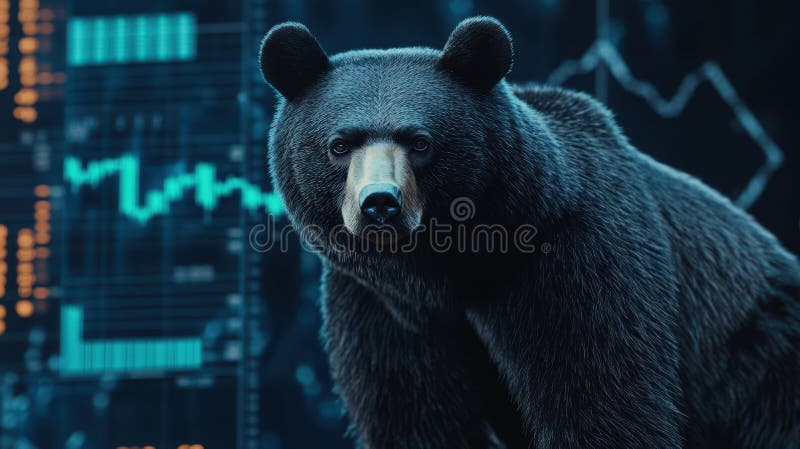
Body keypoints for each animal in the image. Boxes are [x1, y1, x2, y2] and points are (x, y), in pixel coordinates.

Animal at [259, 16, 800, 449]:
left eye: (420, 142)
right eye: (339, 144)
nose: (379, 204)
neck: (451, 272)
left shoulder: (576, 266)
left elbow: (603, 398)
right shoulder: (384, 311)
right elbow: (413, 416)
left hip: (758, 369)